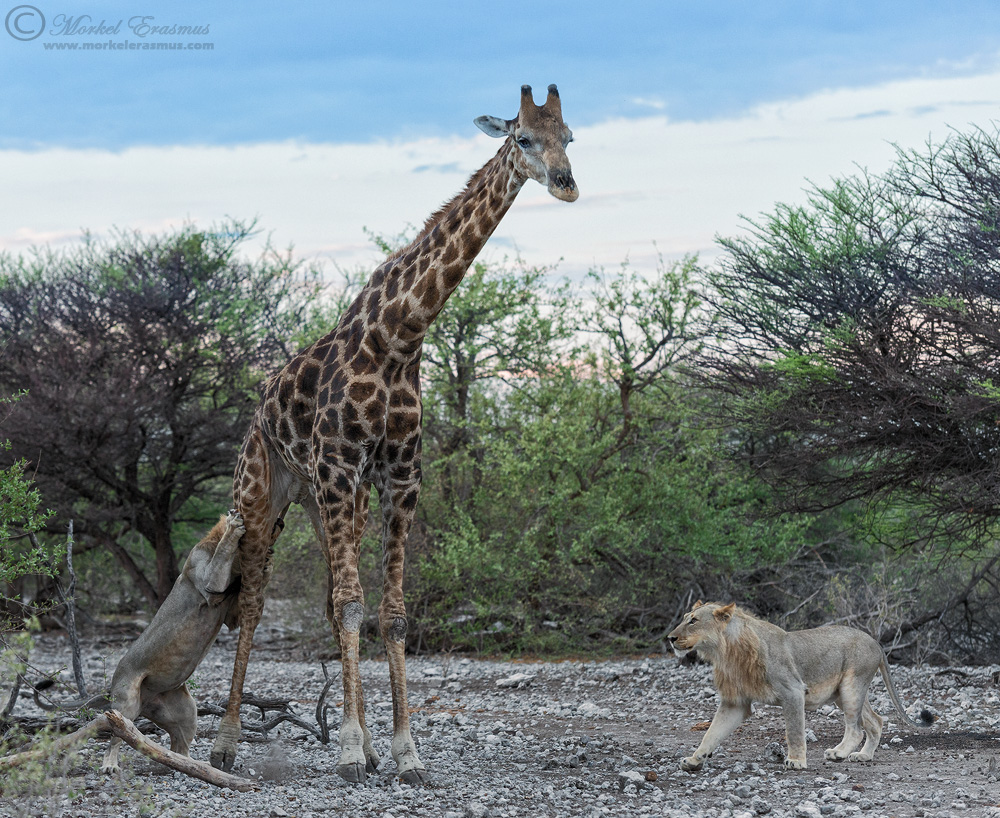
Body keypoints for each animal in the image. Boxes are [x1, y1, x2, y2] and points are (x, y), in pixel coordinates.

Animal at [208, 84, 578, 784]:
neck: (401, 336)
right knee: (254, 601)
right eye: (522, 137)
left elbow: (394, 613)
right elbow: (354, 603)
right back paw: (226, 743)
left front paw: (404, 752)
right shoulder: (338, 469)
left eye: (569, 136)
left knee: (329, 599)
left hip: (331, 501)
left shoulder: (400, 477)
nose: (567, 184)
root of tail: (261, 403)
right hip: (267, 492)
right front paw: (353, 752)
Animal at [667, 601, 933, 772]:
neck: (726, 651)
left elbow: (794, 731)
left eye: (693, 621)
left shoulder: (792, 691)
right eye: (683, 619)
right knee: (875, 721)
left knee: (856, 728)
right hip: (843, 692)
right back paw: (863, 756)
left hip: (852, 686)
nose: (670, 638)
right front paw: (695, 759)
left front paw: (796, 761)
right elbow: (712, 733)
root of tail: (876, 641)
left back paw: (839, 753)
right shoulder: (736, 703)